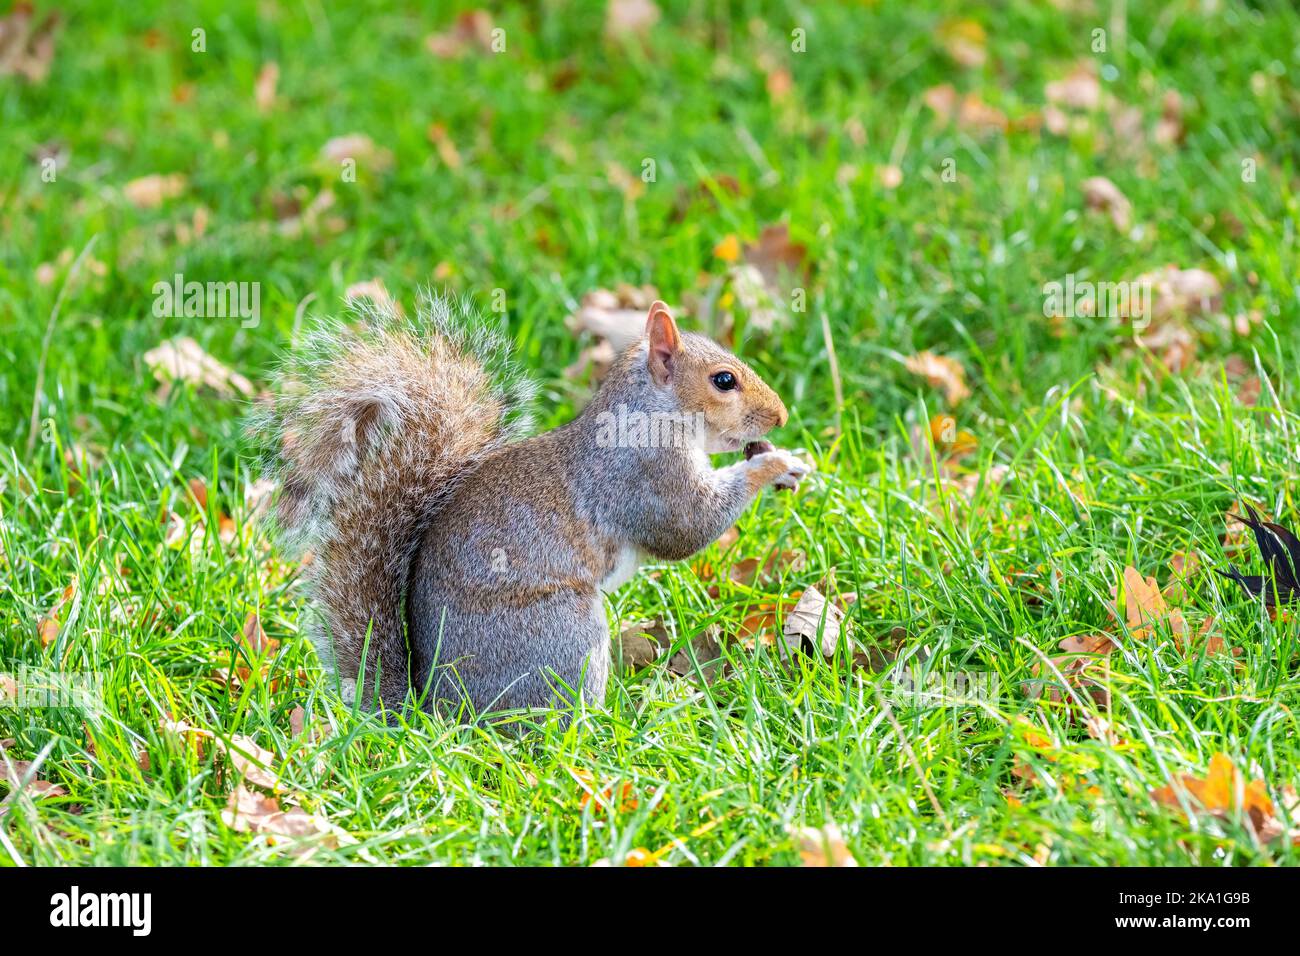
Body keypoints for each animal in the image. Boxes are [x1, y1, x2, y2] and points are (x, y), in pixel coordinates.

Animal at [259, 292, 811, 717]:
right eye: (724, 380)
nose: (782, 415)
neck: (649, 414)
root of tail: (437, 713)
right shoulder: (645, 478)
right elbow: (688, 528)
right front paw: (771, 464)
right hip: (563, 633)